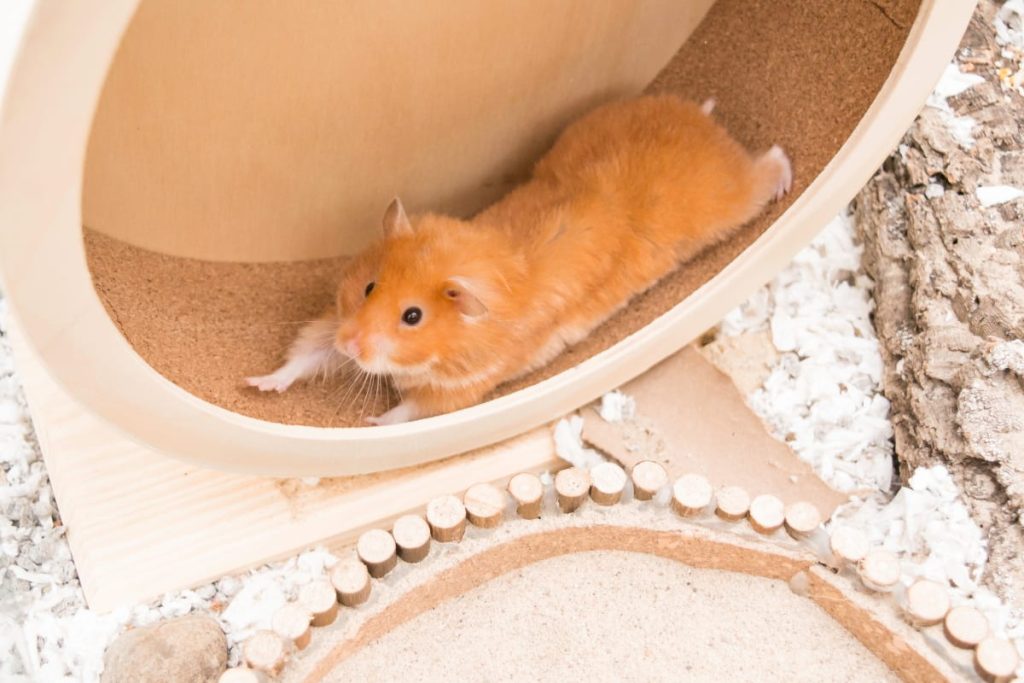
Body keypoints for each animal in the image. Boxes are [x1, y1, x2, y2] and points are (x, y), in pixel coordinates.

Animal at [246, 94, 792, 425]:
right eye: (368, 287)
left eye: (413, 317)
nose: (351, 342)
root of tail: (702, 123)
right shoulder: (335, 325)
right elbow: (305, 355)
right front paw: (257, 385)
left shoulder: (460, 389)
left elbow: (411, 408)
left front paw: (372, 421)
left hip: (732, 202)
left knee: (768, 164)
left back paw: (785, 174)